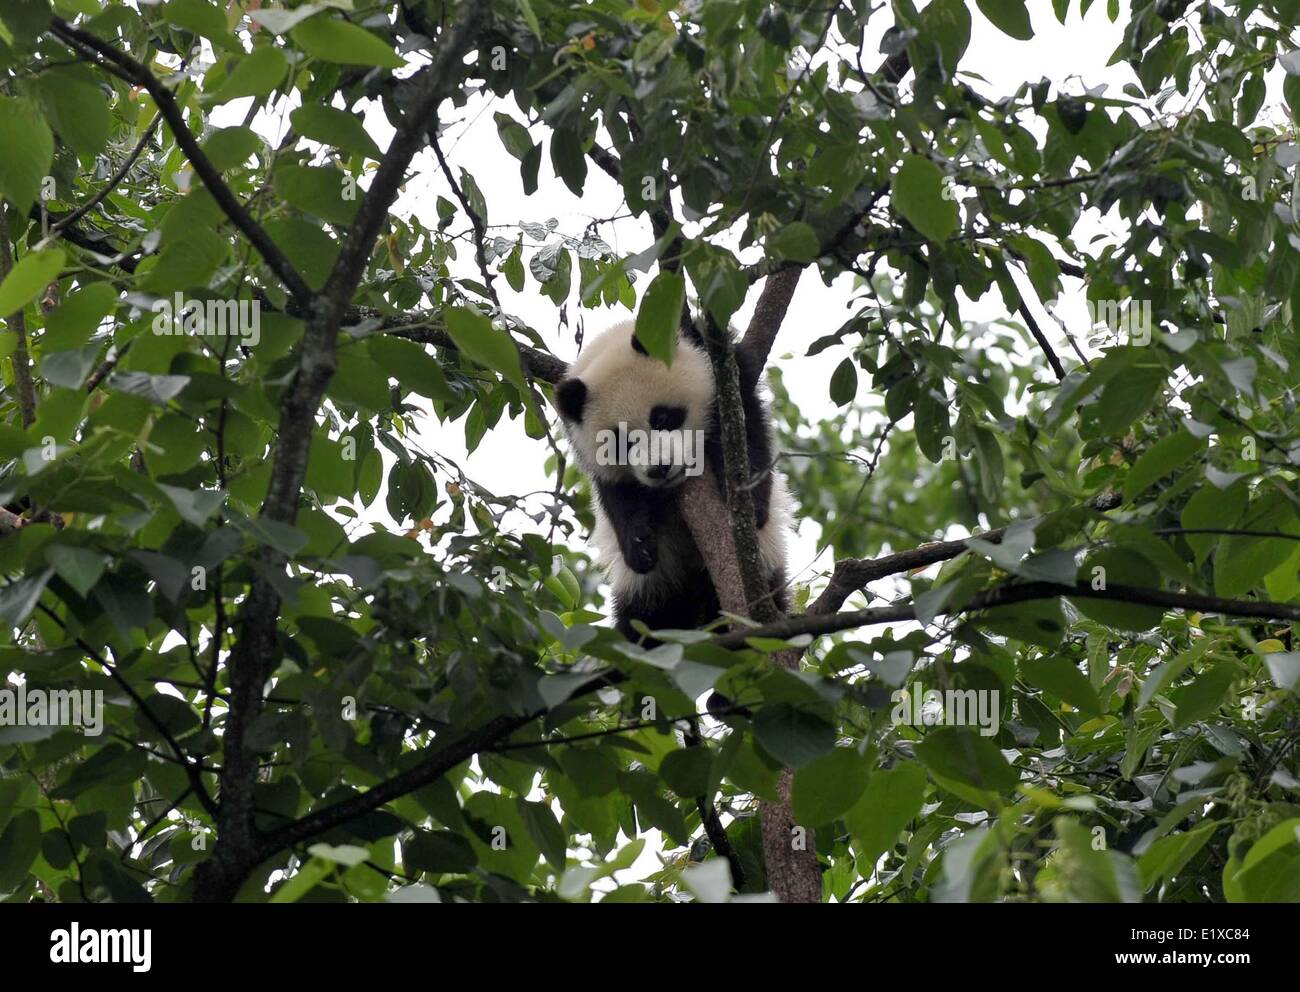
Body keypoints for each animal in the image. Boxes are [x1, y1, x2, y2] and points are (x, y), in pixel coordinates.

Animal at [554, 318, 791, 642]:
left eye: (662, 418)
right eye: (622, 443)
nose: (659, 468)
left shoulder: (724, 371)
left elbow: (747, 431)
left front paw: (750, 505)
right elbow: (618, 496)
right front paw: (640, 545)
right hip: (656, 586)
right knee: (647, 619)